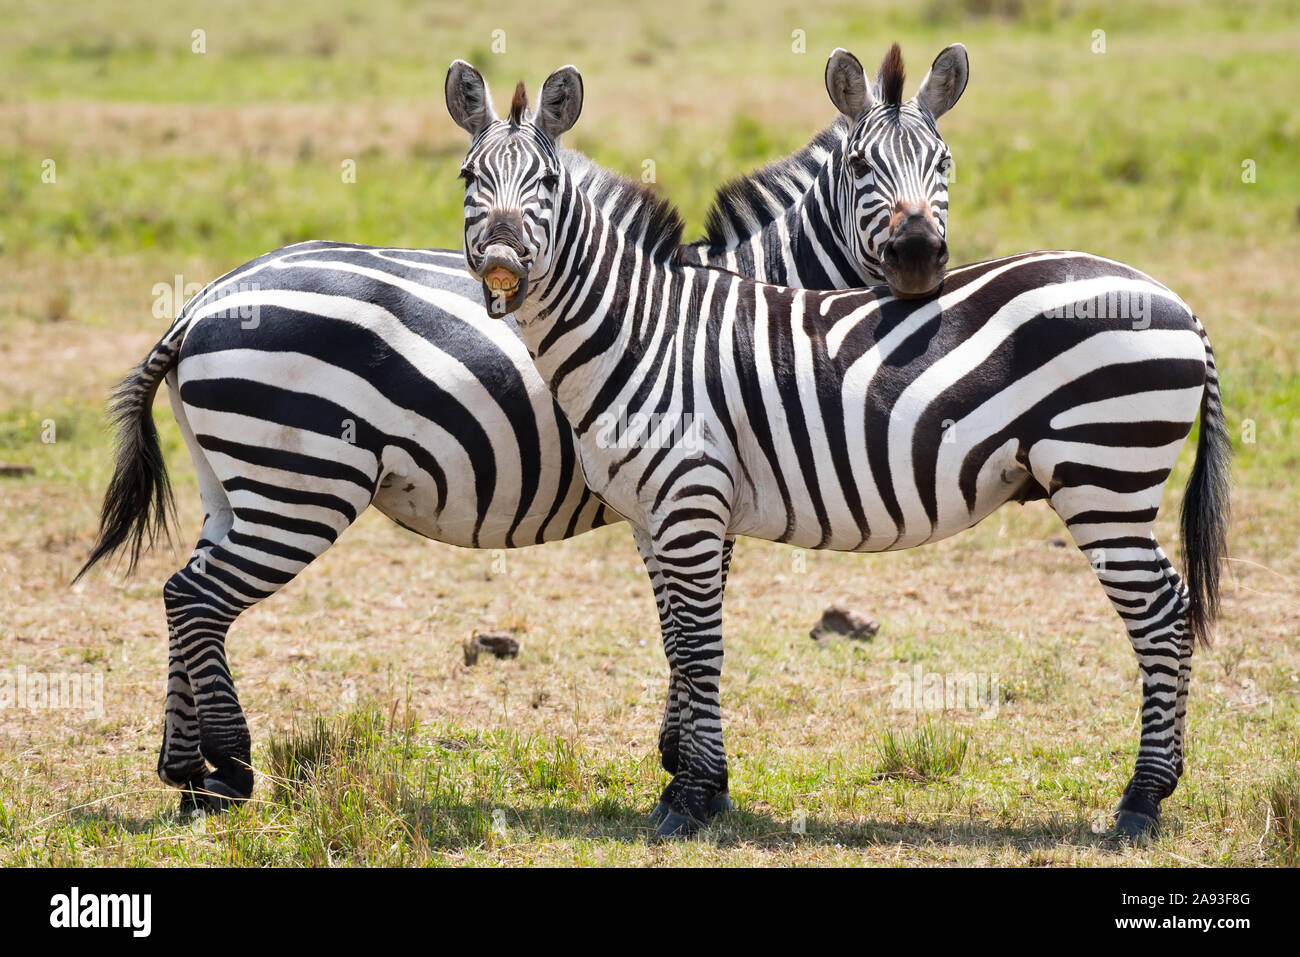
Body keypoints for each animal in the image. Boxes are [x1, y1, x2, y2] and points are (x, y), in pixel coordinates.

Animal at [75, 45, 963, 814]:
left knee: (180, 592)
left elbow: (677, 623)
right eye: (861, 168)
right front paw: (690, 768)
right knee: (200, 597)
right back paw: (227, 764)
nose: (920, 255)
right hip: (300, 485)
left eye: (945, 164)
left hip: (233, 482)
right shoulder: (703, 483)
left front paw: (675, 757)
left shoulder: (674, 493)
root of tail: (203, 301)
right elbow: (694, 625)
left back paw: (186, 770)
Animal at [446, 61, 1231, 839]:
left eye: (548, 182)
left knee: (1163, 615)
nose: (502, 260)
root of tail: (1177, 301)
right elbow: (676, 642)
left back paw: (1141, 799)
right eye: (467, 176)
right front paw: (690, 785)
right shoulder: (652, 515)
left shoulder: (693, 501)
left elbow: (700, 647)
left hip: (1104, 477)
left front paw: (693, 797)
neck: (640, 327)